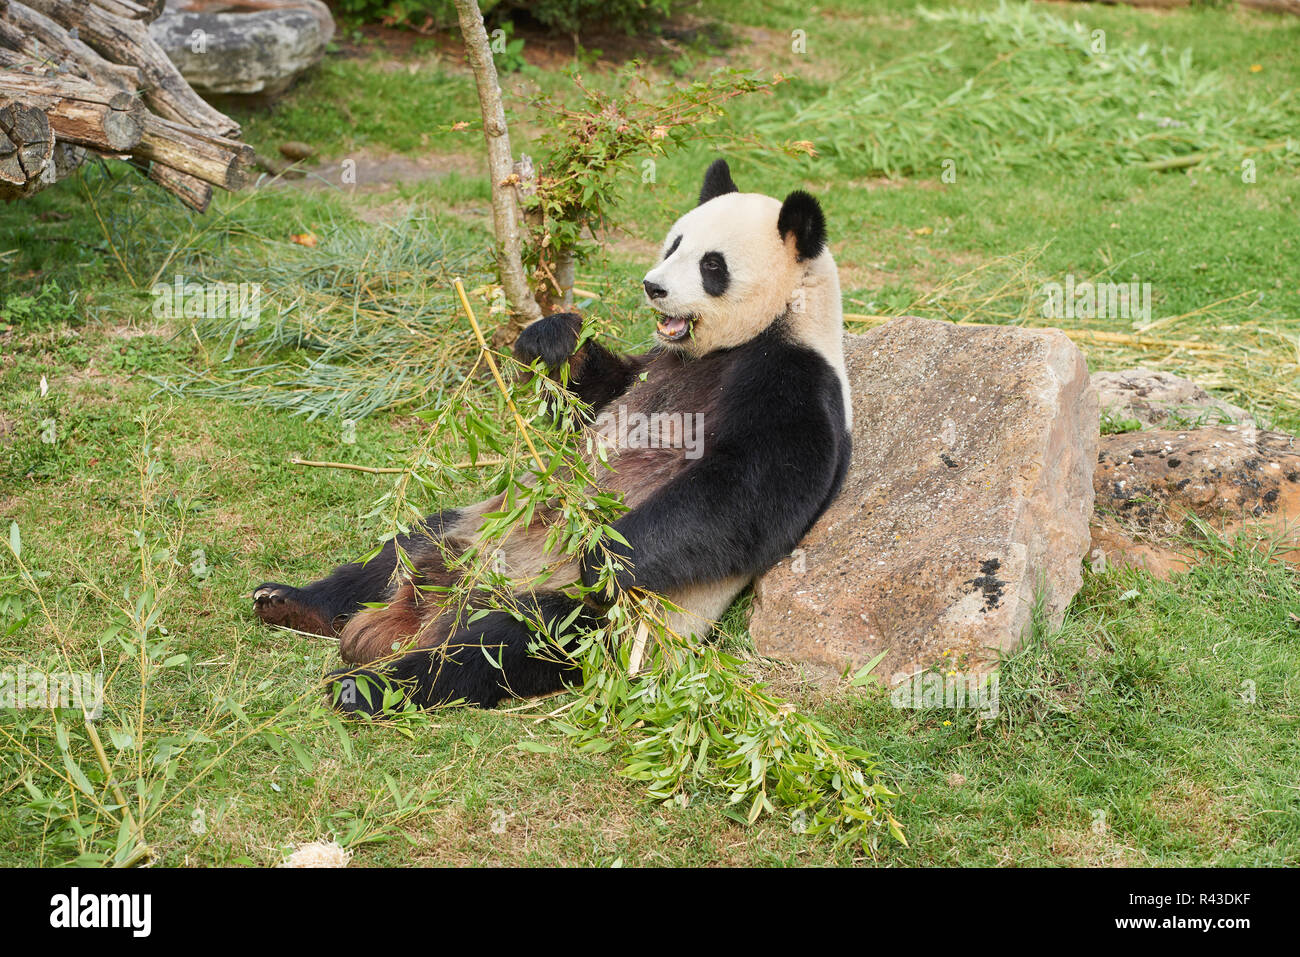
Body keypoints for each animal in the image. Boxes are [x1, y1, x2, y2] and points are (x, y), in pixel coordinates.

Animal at [252, 159, 852, 714]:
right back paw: (288, 602)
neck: (743, 338)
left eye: (712, 265)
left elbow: (749, 489)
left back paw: (370, 685)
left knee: (503, 646)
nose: (653, 287)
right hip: (472, 525)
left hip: (594, 613)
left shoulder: (794, 378)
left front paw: (605, 553)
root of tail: (433, 608)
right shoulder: (653, 364)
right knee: (397, 550)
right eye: (675, 243)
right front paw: (553, 337)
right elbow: (592, 399)